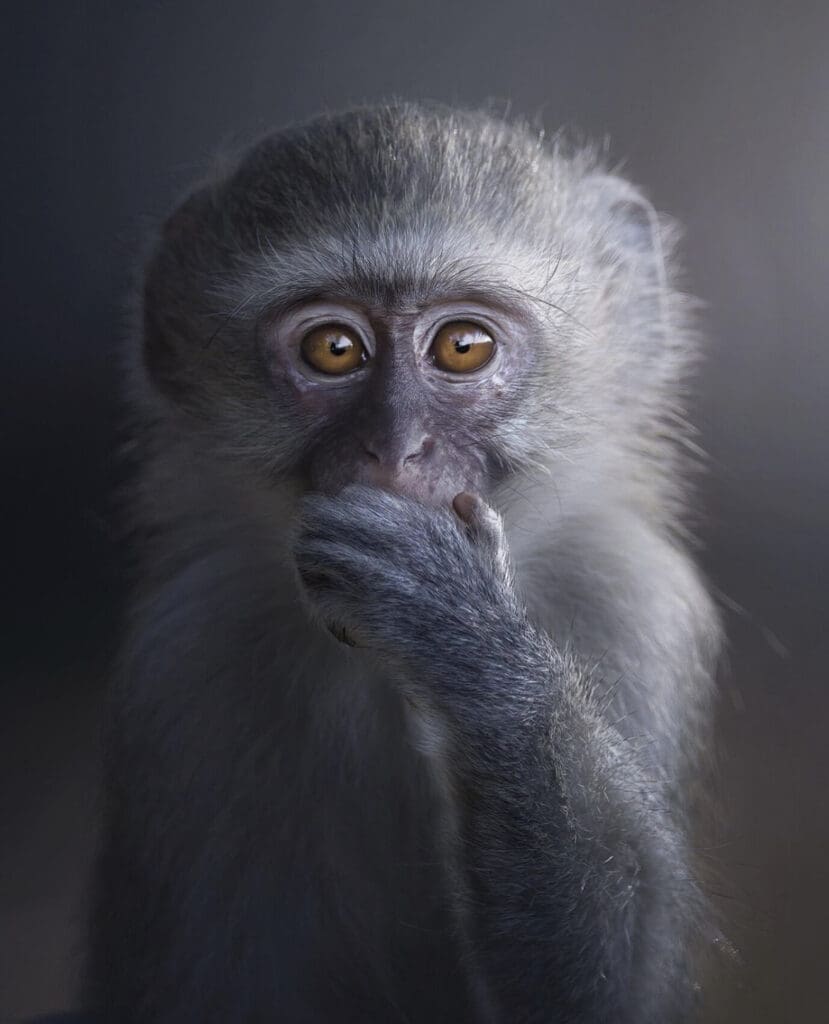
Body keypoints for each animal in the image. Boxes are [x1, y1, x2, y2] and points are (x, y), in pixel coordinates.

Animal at [90, 103, 721, 1023]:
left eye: (461, 347)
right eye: (332, 349)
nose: (392, 448)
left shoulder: (627, 599)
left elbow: (609, 1000)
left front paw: (463, 640)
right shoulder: (185, 653)